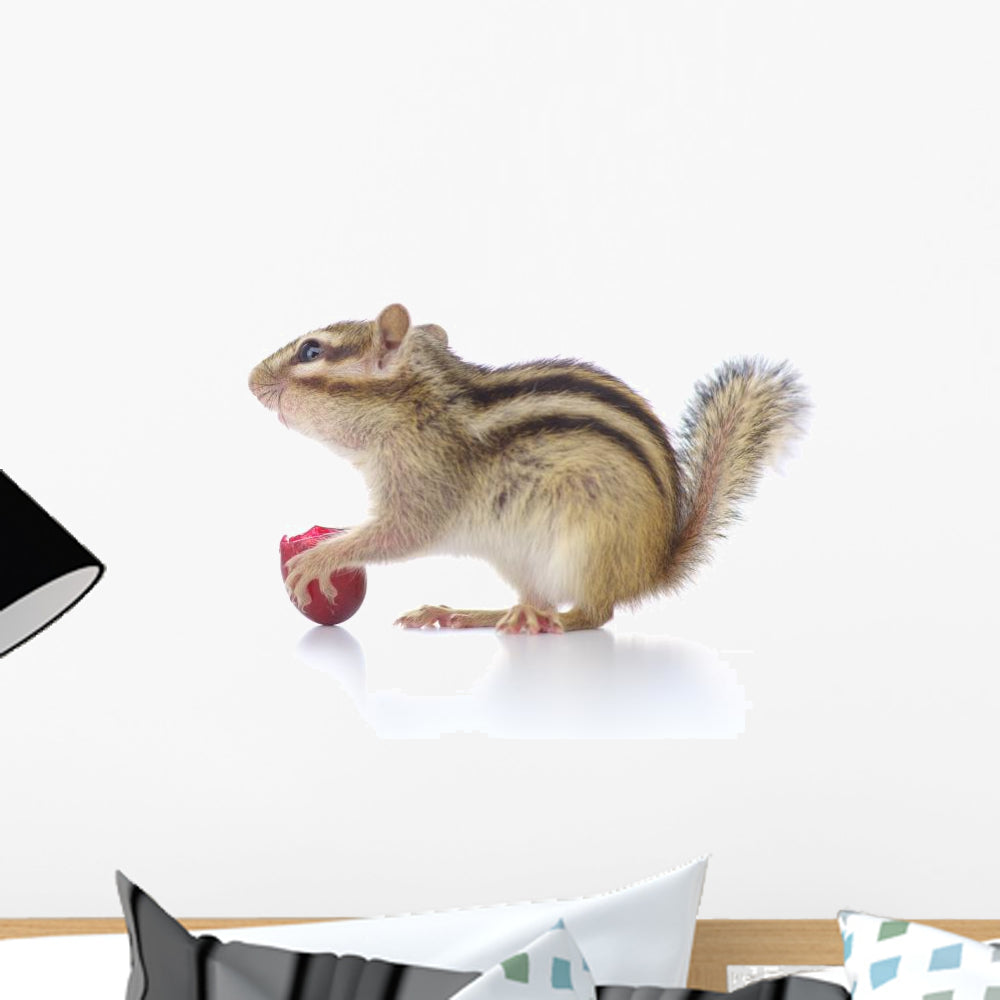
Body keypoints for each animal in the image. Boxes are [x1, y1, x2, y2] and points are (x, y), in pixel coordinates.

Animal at [249, 304, 808, 634]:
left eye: (311, 351)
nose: (251, 380)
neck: (417, 407)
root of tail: (652, 567)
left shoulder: (425, 486)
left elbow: (399, 535)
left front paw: (318, 557)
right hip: (520, 560)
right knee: (538, 599)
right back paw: (471, 613)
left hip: (585, 546)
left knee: (591, 615)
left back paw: (540, 624)